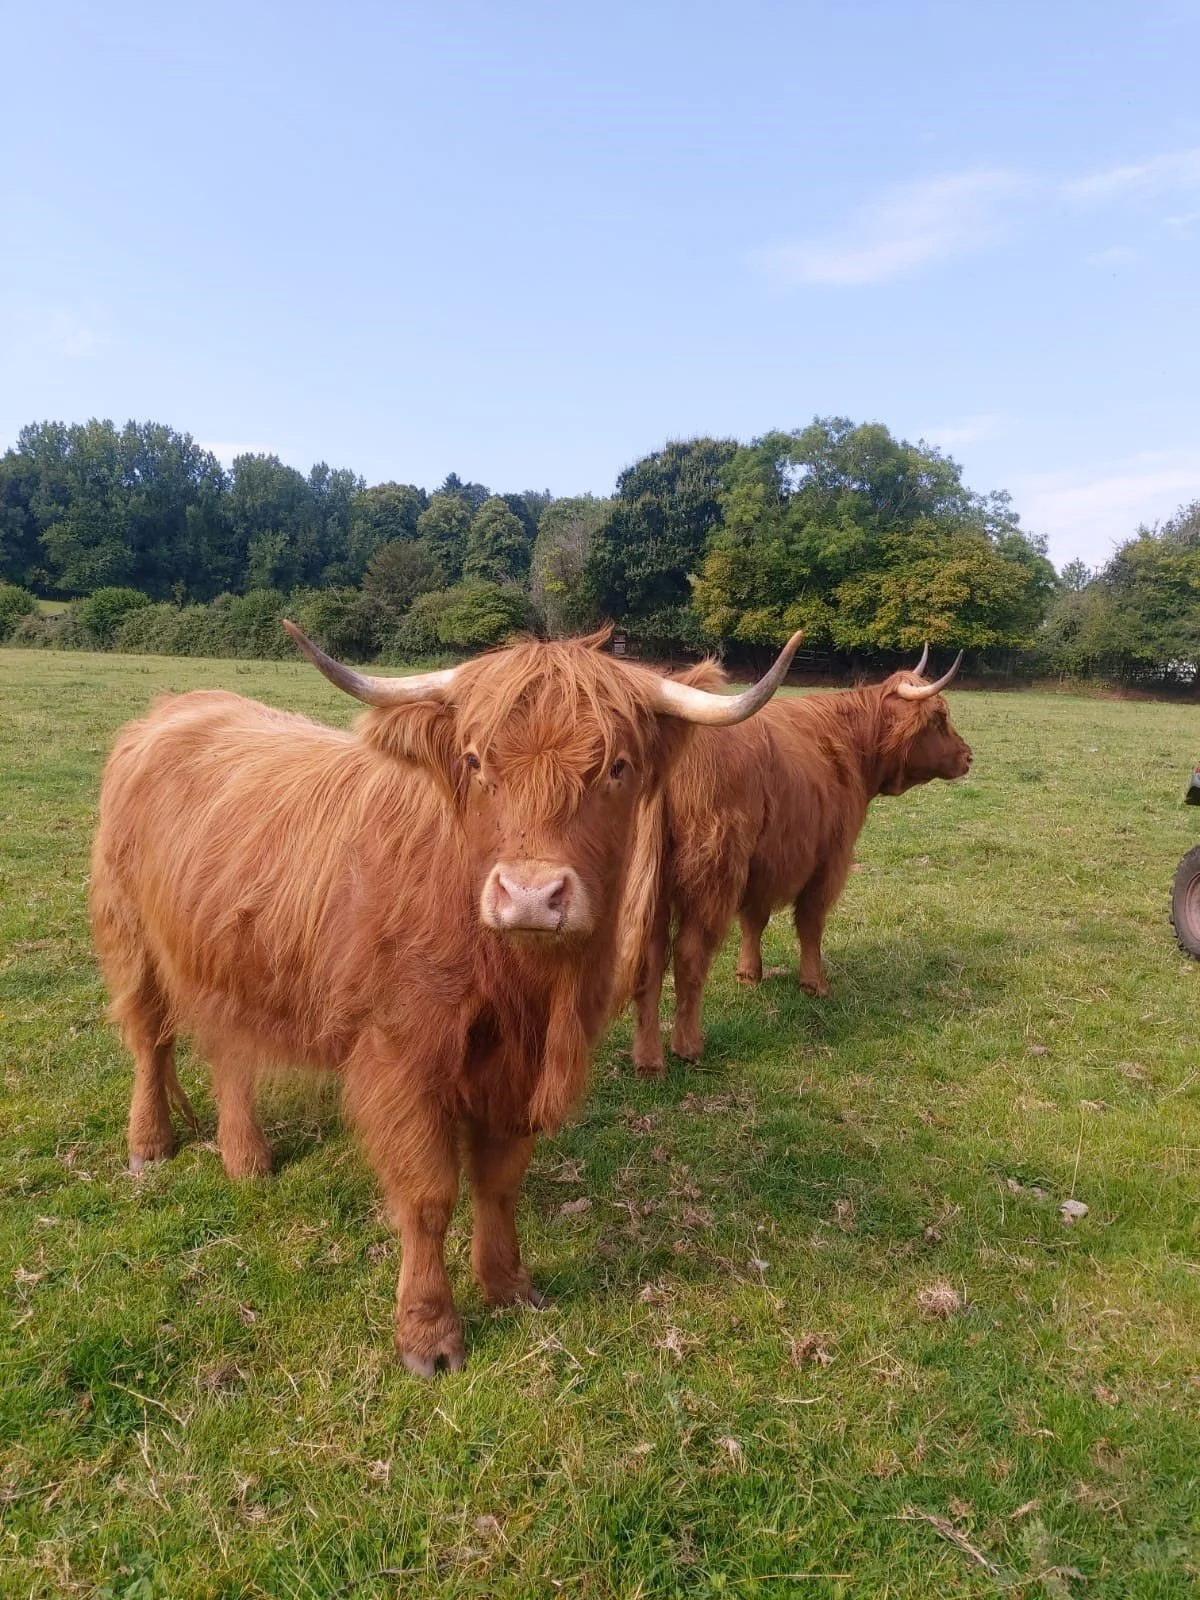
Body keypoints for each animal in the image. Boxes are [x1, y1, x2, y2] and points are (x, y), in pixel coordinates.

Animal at [89, 623, 802, 1375]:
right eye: (474, 760)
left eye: (617, 766)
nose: (529, 895)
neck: (518, 986)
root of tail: (177, 707)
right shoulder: (401, 1056)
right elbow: (429, 1195)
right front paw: (429, 1334)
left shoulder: (516, 1069)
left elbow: (500, 1179)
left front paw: (509, 1284)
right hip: (131, 936)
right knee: (149, 1038)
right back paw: (150, 1144)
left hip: (230, 961)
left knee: (230, 1054)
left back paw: (248, 1161)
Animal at [620, 649, 972, 1075]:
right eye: (939, 718)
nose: (969, 756)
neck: (849, 746)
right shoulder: (830, 860)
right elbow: (810, 923)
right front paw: (814, 983)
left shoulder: (765, 865)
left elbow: (754, 921)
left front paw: (749, 974)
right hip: (713, 874)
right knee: (689, 954)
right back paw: (688, 1046)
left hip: (647, 886)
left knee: (649, 961)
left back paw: (648, 1061)